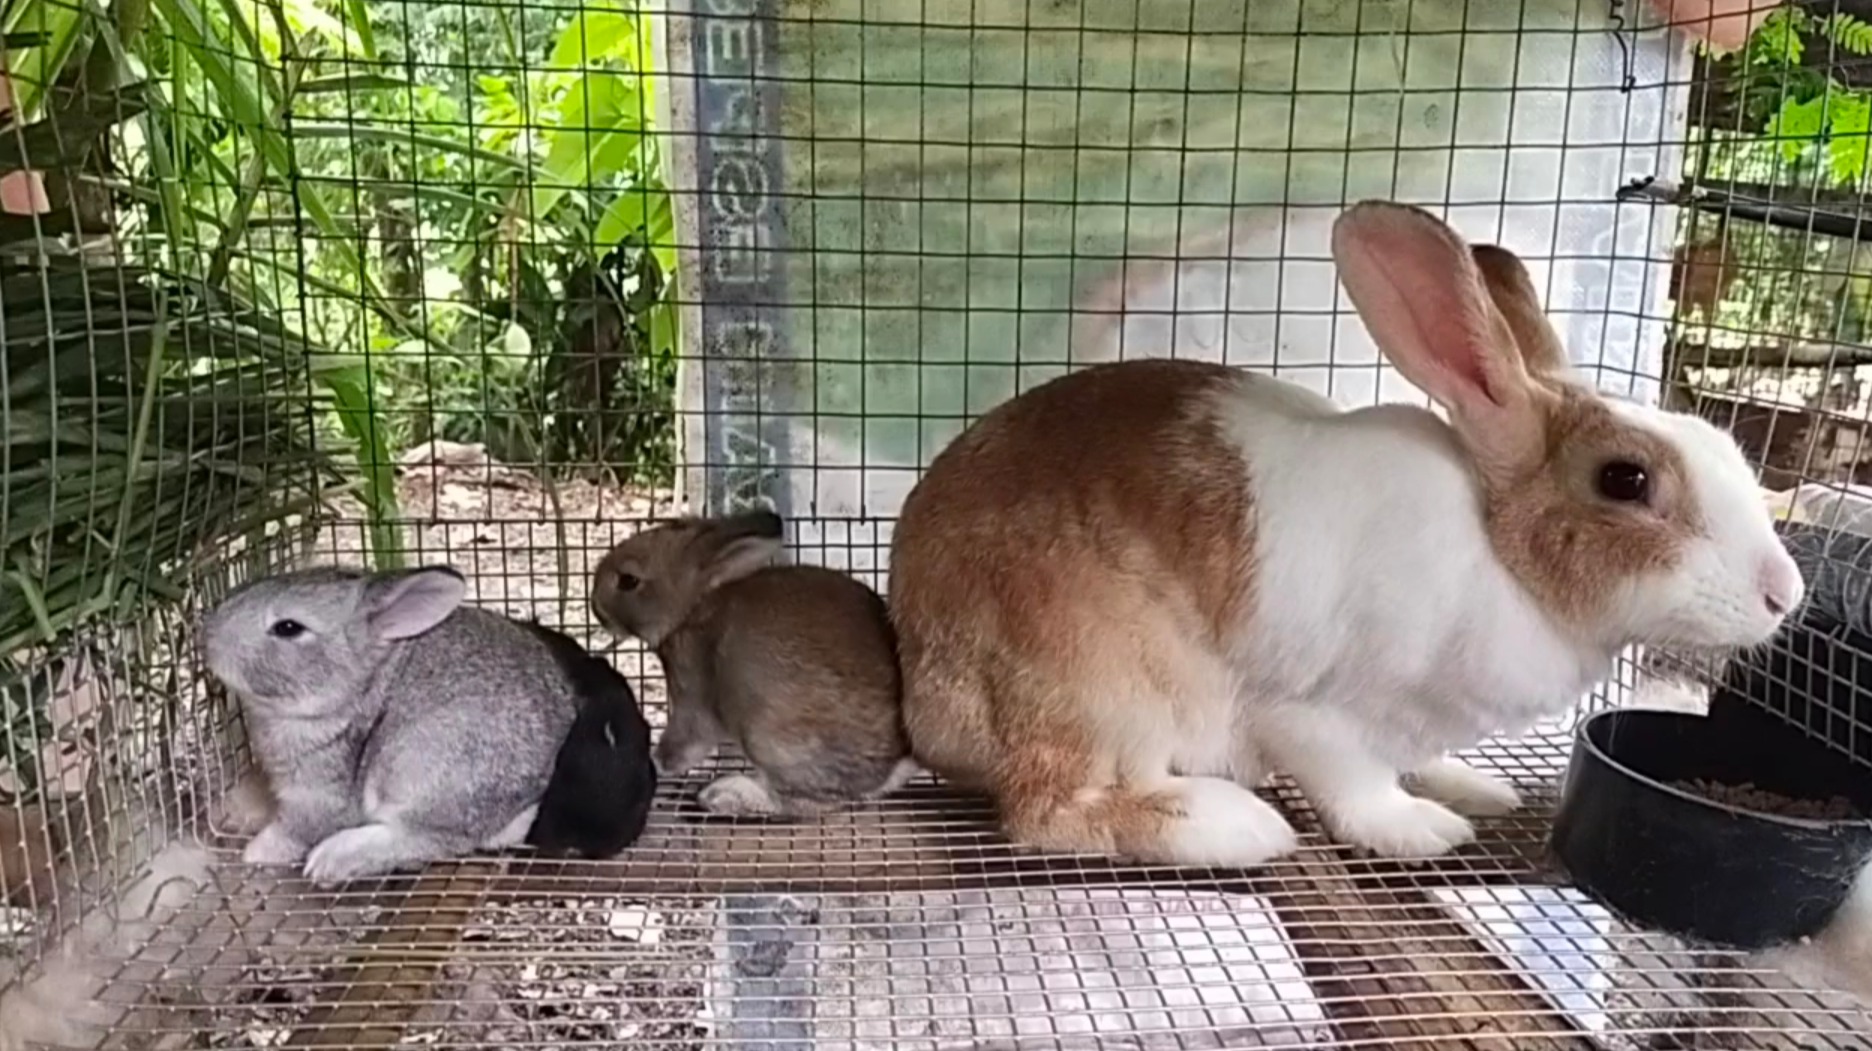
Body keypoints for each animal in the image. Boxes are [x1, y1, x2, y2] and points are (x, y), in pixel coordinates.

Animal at [200, 565, 656, 885]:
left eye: (288, 628)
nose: (208, 637)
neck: (354, 689)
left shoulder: (318, 796)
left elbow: (295, 829)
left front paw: (255, 853)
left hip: (418, 762)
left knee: (431, 838)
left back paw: (333, 860)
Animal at [590, 509, 917, 818]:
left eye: (628, 580)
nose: (596, 609)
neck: (690, 609)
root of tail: (900, 757)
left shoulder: (693, 698)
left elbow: (683, 744)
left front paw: (655, 764)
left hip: (765, 735)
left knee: (808, 801)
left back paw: (723, 796)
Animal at [886, 200, 1806, 870]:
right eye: (1626, 480)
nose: (1785, 594)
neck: (1499, 559)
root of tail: (925, 696)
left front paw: (1476, 789)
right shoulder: (1314, 714)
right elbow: (1358, 788)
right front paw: (1423, 829)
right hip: (1100, 686)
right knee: (1051, 809)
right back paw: (1236, 826)